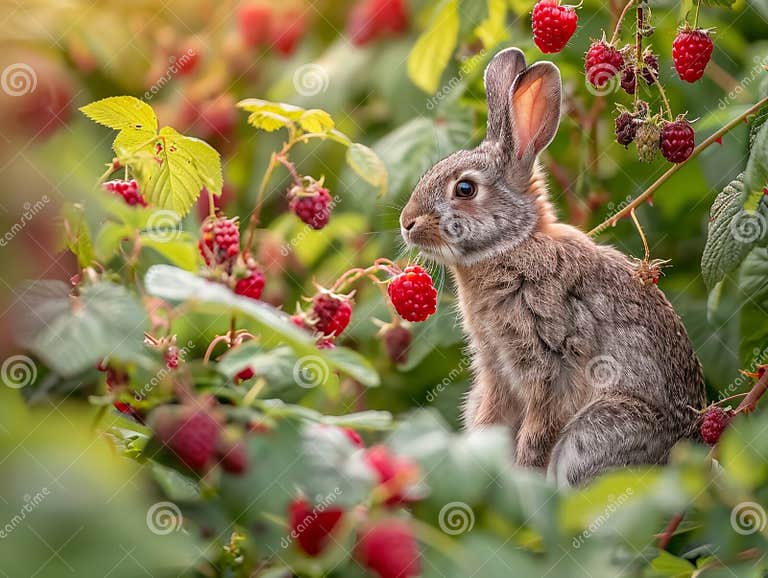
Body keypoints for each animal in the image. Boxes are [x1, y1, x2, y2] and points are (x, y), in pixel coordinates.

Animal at [399, 47, 706, 487]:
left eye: (465, 189)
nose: (406, 223)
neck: (512, 245)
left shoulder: (553, 360)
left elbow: (540, 428)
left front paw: (524, 471)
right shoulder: (495, 372)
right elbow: (492, 420)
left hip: (596, 430)